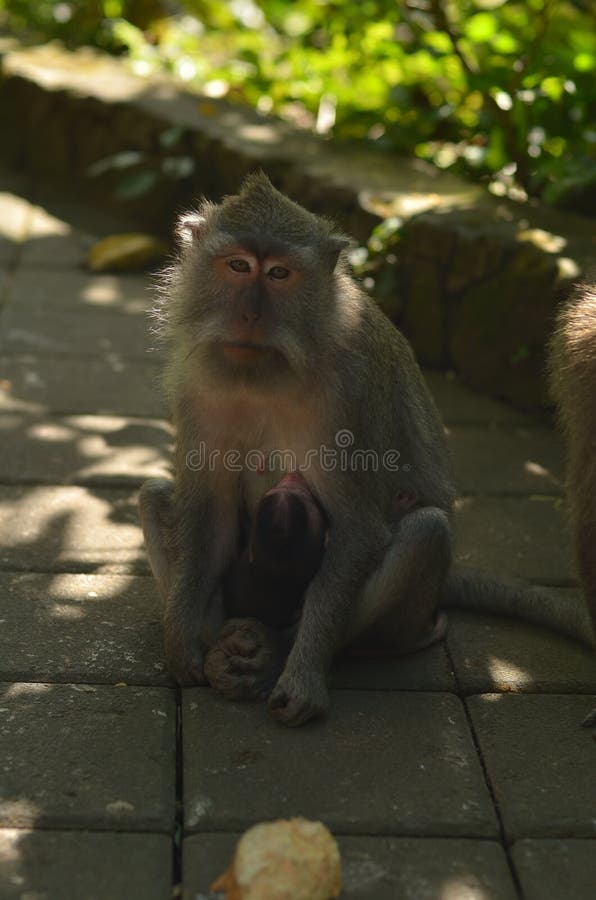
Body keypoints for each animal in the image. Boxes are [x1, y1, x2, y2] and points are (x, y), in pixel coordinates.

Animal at [140, 173, 595, 727]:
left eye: (279, 273)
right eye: (238, 266)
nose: (248, 315)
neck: (270, 370)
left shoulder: (350, 391)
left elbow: (359, 528)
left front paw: (303, 677)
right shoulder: (195, 386)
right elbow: (208, 514)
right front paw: (182, 642)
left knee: (425, 531)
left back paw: (286, 651)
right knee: (154, 494)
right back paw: (222, 638)